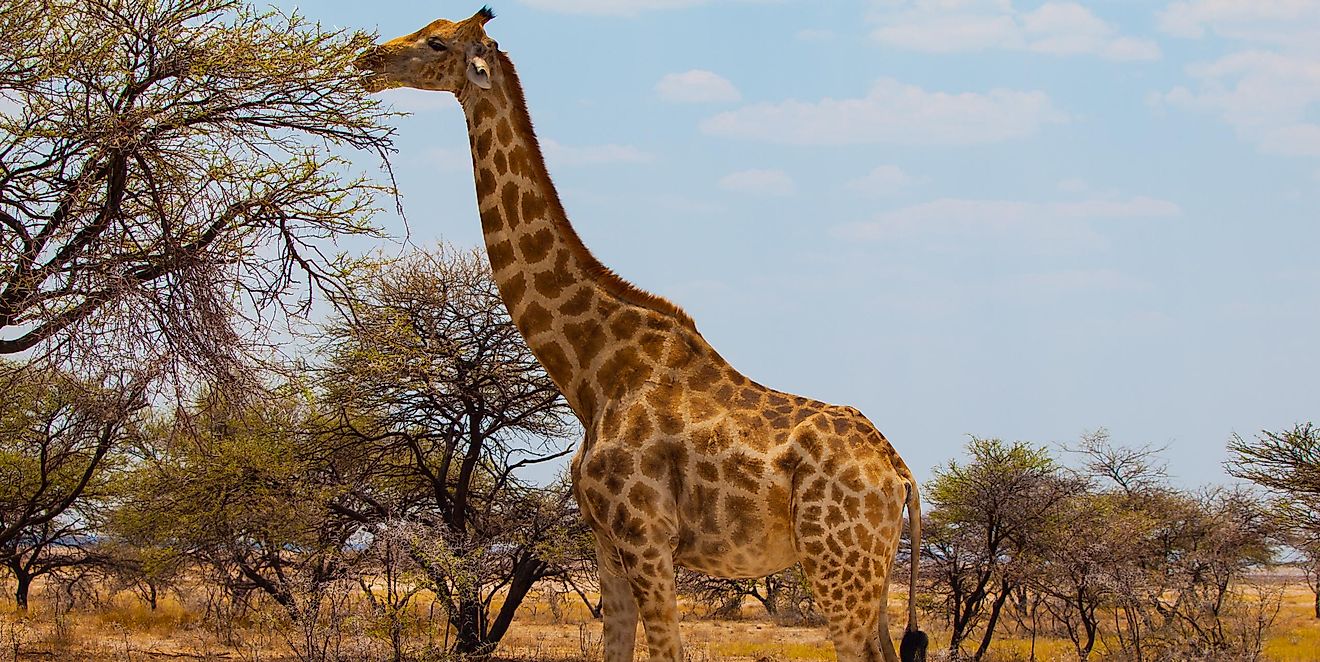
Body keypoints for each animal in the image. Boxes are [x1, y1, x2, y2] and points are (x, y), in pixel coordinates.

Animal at [355, 9, 929, 662]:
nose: (368, 60)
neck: (591, 371)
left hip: (837, 565)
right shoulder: (606, 544)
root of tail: (899, 472)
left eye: (436, 42)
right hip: (871, 573)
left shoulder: (647, 538)